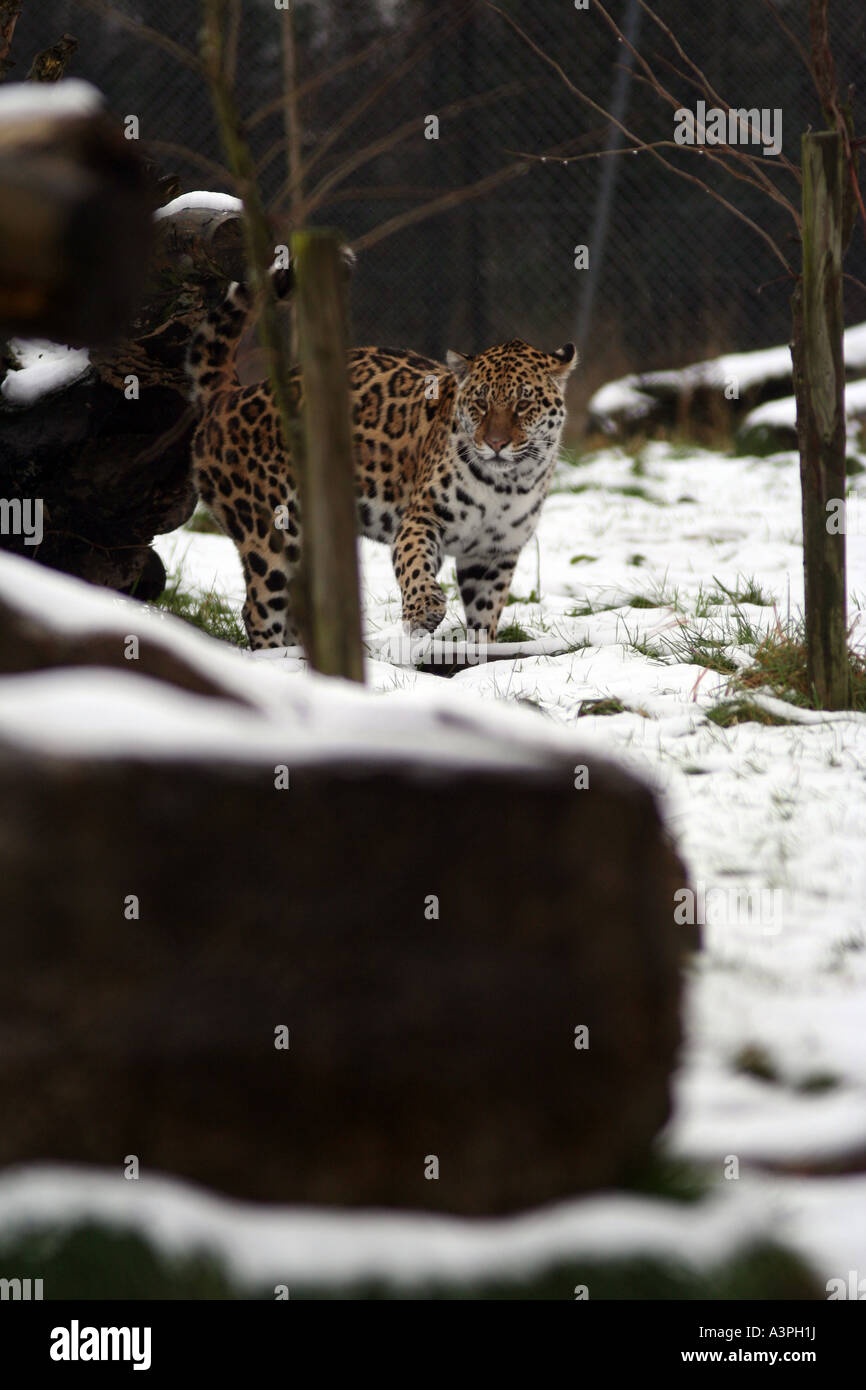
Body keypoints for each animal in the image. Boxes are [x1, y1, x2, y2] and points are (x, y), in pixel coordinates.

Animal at [186, 263, 577, 650]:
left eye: (523, 404)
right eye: (480, 403)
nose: (495, 444)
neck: (507, 483)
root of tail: (231, 394)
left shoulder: (493, 556)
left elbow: (485, 617)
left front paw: (480, 653)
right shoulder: (421, 518)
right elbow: (414, 562)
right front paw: (424, 610)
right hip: (270, 536)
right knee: (258, 610)